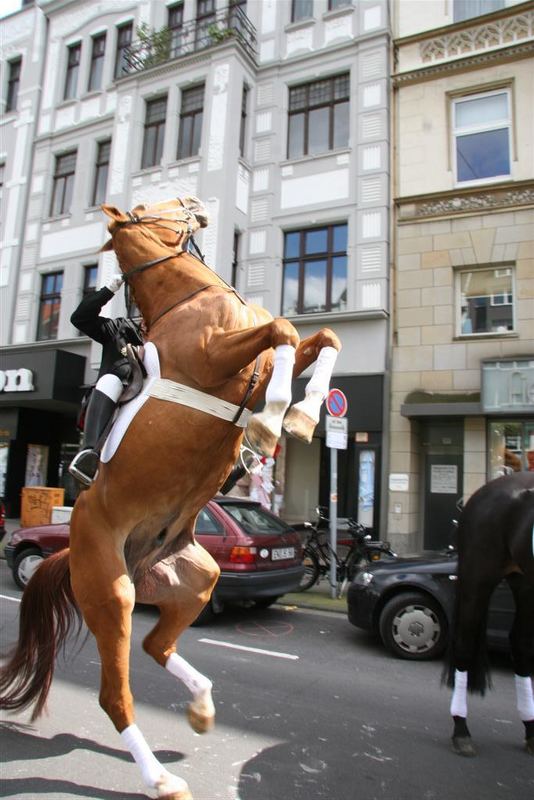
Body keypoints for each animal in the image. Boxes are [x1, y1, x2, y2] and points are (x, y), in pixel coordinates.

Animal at [0, 196, 341, 799]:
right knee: (115, 695)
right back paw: (160, 778)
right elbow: (281, 327)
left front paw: (301, 414)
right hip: (112, 594)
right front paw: (272, 421)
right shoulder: (215, 356)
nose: (195, 204)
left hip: (195, 578)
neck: (193, 297)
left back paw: (201, 709)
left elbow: (320, 337)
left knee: (156, 647)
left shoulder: (254, 357)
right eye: (147, 206)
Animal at [444, 471, 534, 756]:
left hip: (524, 581)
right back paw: (461, 729)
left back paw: (530, 729)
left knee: (520, 644)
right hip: (479, 574)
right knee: (464, 642)